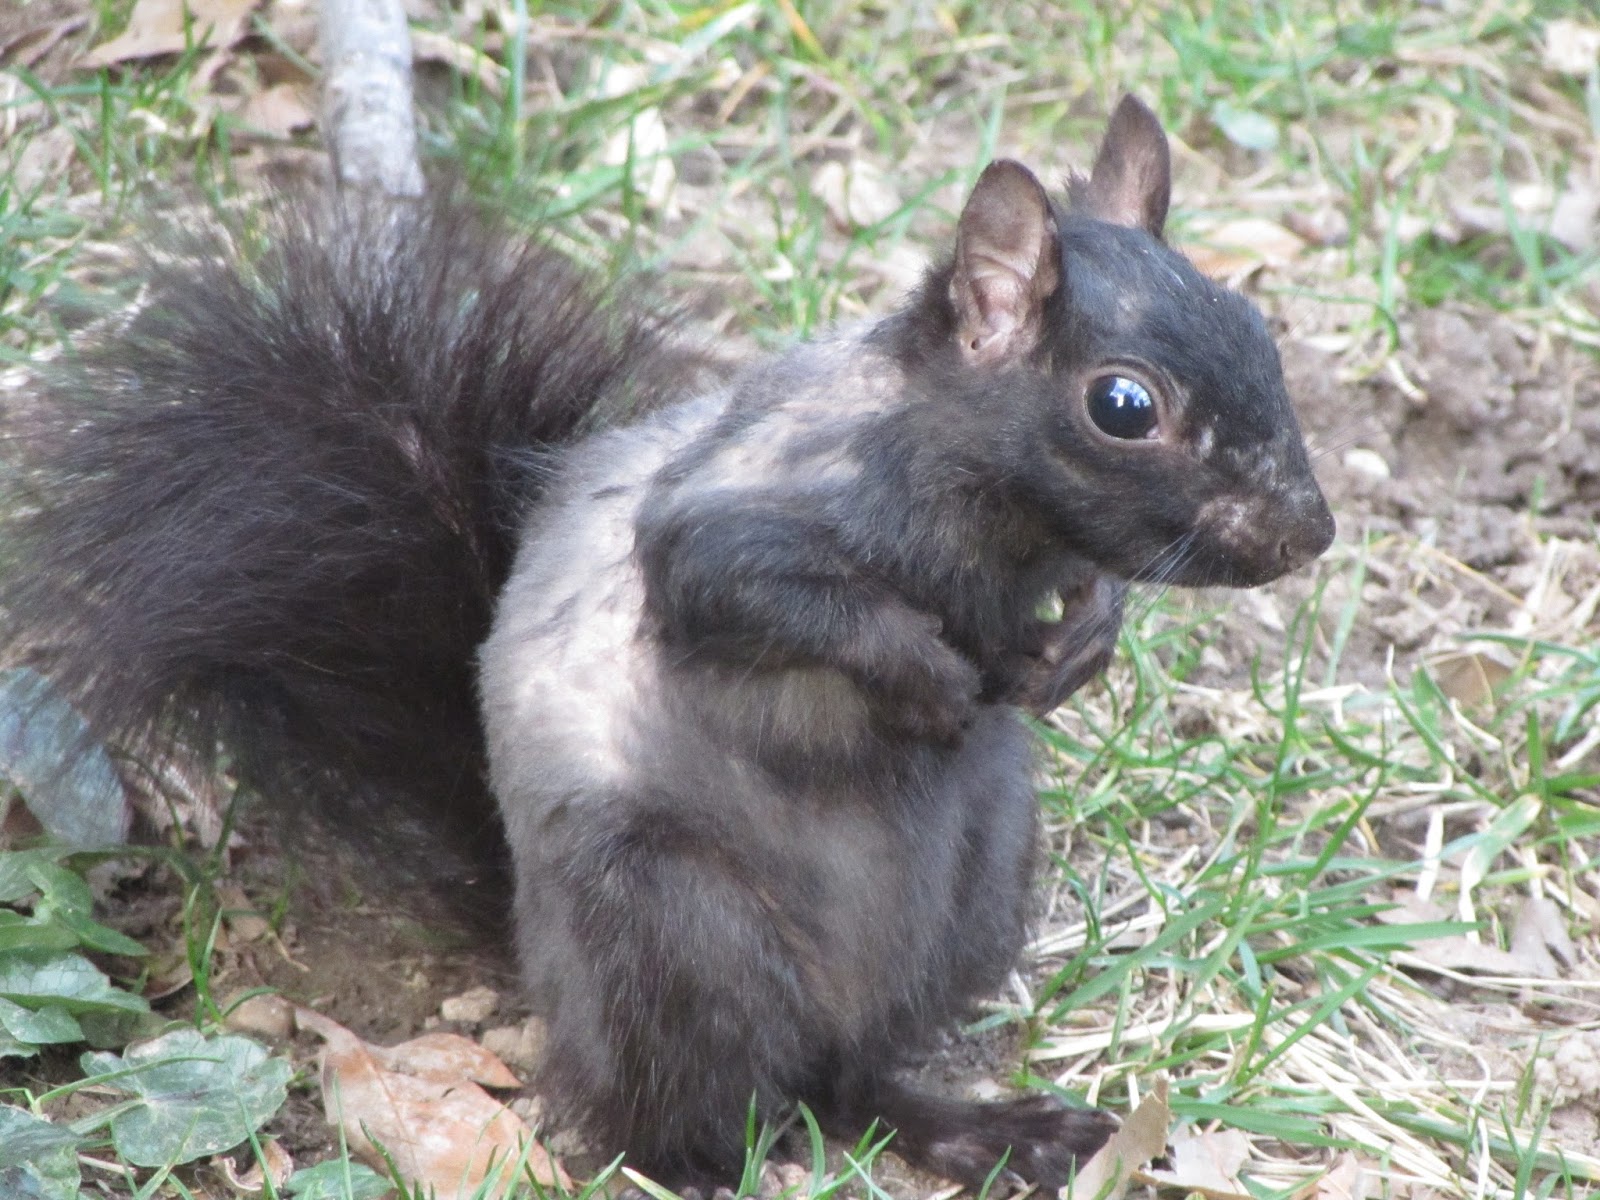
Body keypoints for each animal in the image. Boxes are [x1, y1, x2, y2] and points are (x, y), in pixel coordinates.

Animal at [1, 95, 1333, 1188]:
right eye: (1123, 406)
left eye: (1260, 330)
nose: (1306, 532)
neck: (980, 499)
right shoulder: (735, 525)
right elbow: (773, 598)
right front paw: (929, 670)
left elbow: (1079, 599)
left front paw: (1081, 644)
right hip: (666, 926)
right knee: (710, 1106)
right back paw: (709, 1160)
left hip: (980, 868)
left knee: (858, 1085)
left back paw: (983, 1129)